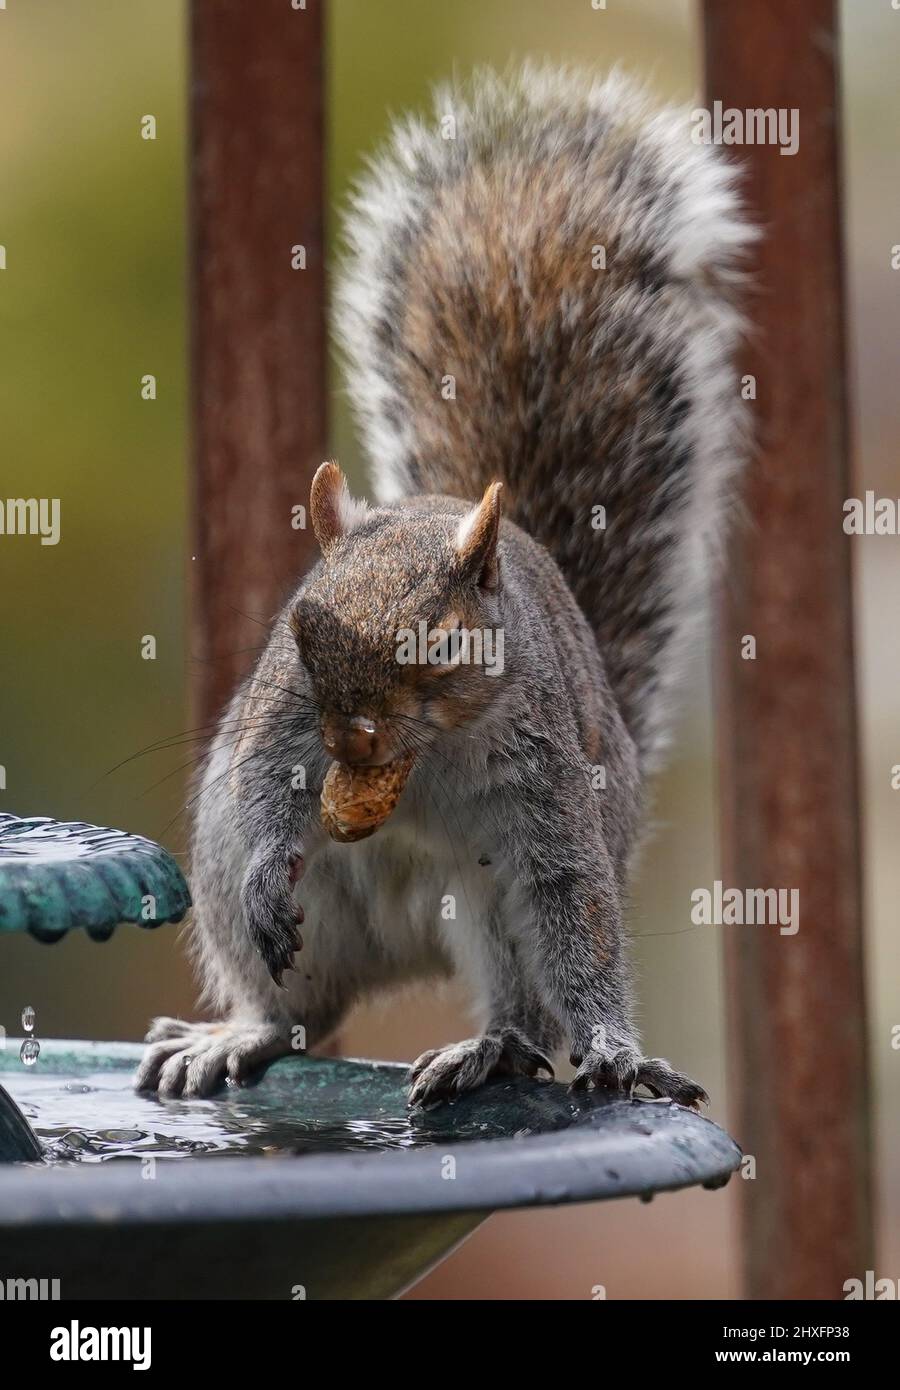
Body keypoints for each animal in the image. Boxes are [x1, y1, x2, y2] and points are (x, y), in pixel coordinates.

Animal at [136, 66, 750, 1107]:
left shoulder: (549, 793)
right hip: (241, 891)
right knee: (299, 1012)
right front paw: (268, 867)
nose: (351, 740)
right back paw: (239, 1035)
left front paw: (618, 1052)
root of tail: (406, 959)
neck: (423, 760)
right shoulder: (278, 723)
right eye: (297, 630)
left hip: (490, 902)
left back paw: (488, 1048)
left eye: (447, 641)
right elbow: (263, 789)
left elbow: (574, 910)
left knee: (522, 1002)